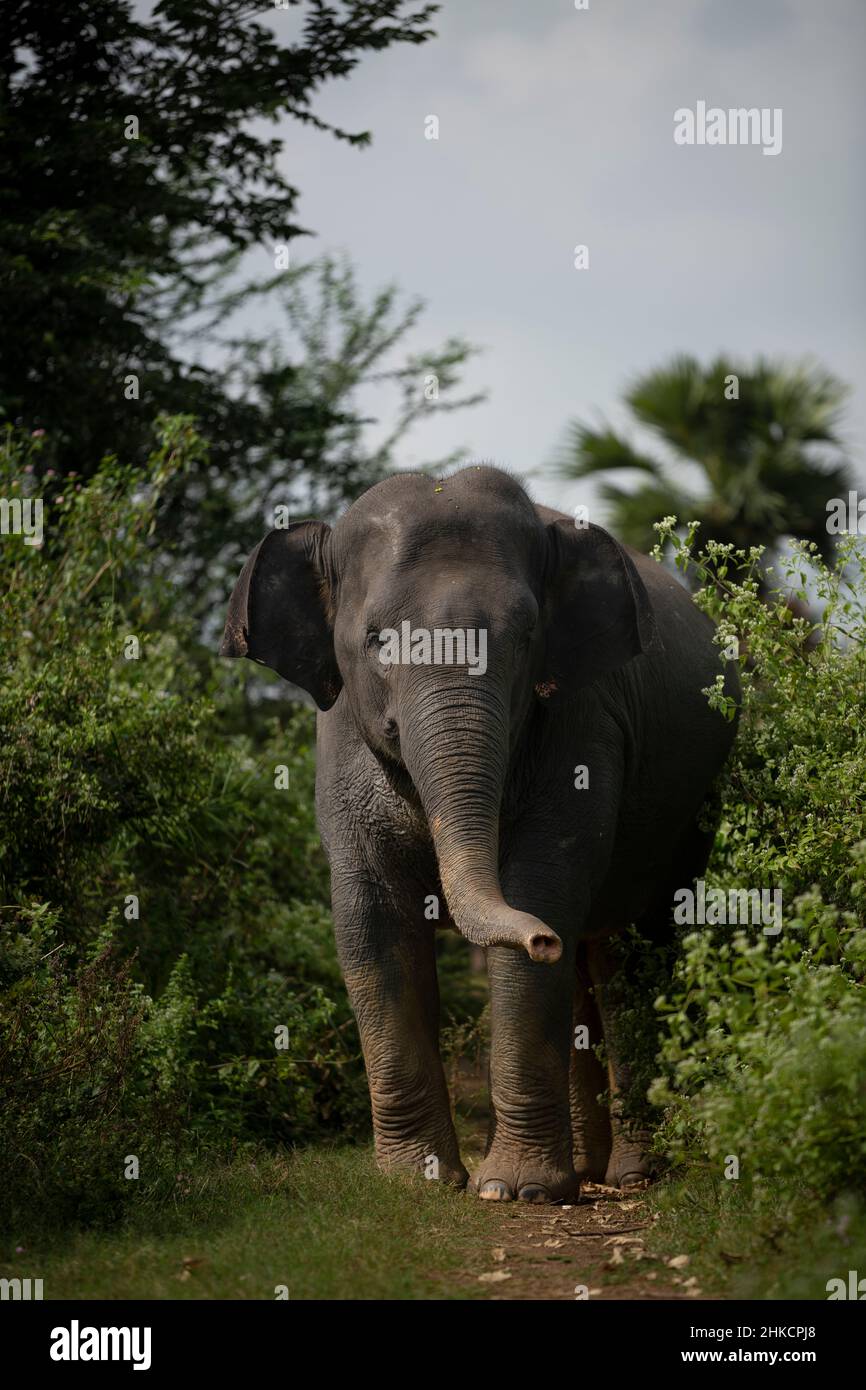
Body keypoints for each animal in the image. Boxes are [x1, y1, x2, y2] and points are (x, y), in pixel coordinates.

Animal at [220, 465, 738, 1203]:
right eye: (376, 639)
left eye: (525, 636)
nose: (539, 940)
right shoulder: (340, 739)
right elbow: (371, 920)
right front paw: (419, 1182)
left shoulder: (585, 723)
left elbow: (542, 886)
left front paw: (513, 1191)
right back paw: (587, 1169)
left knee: (631, 957)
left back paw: (631, 1175)